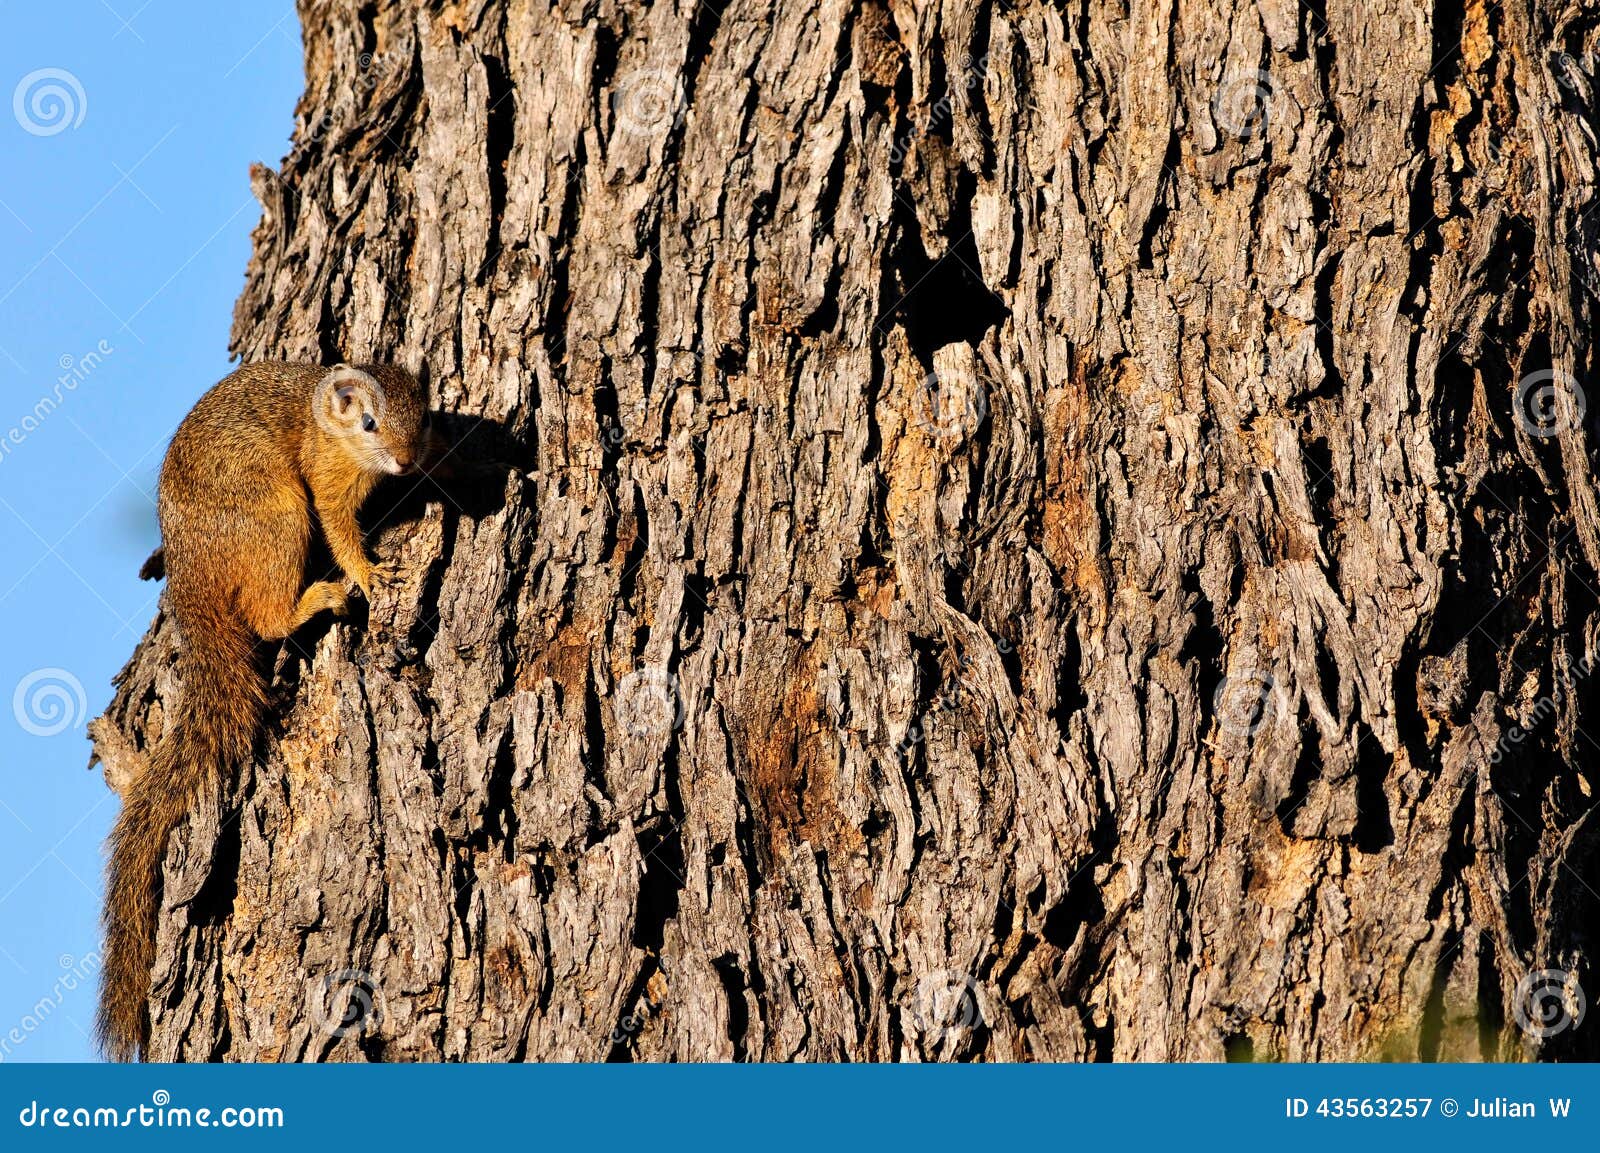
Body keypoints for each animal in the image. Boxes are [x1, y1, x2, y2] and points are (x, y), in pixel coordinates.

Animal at [98, 361, 429, 1061]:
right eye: (369, 422)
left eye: (424, 418)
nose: (406, 460)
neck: (322, 419)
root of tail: (193, 577)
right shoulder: (325, 477)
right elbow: (340, 525)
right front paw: (368, 572)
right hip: (277, 518)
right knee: (271, 614)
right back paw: (320, 597)